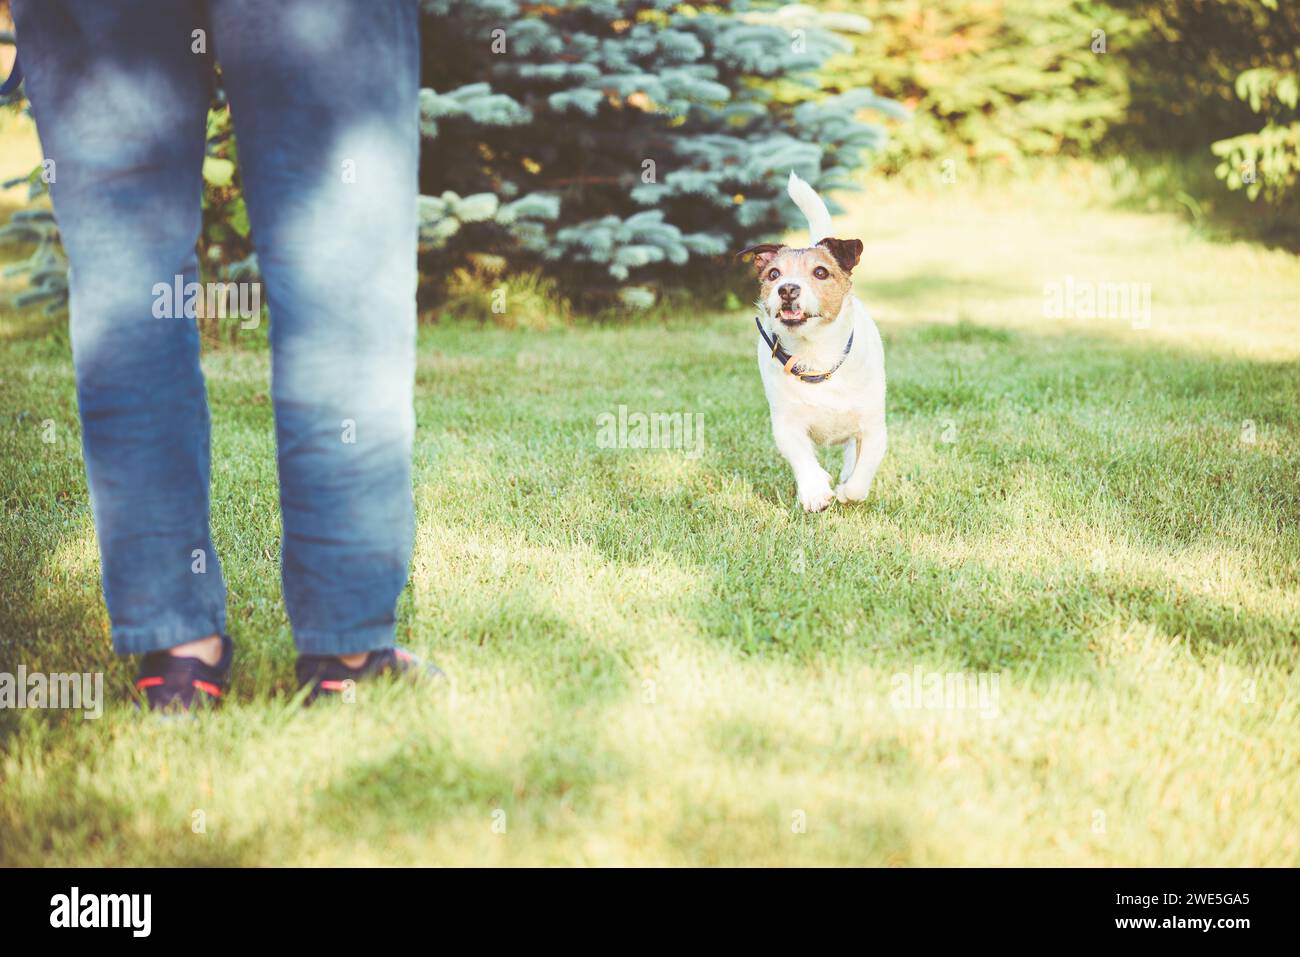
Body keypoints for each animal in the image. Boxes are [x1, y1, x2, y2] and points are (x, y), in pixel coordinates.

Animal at [738, 174, 889, 512]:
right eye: (774, 274)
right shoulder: (786, 424)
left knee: (850, 451)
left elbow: (864, 466)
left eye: (820, 272)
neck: (815, 354)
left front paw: (849, 491)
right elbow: (801, 458)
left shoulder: (874, 427)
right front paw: (815, 491)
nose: (787, 289)